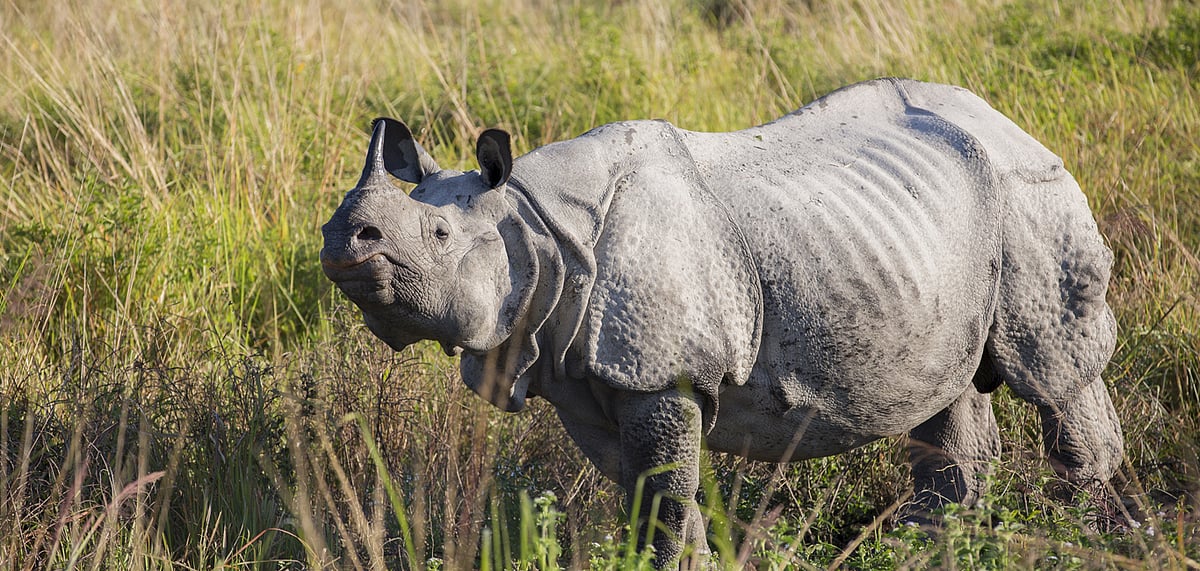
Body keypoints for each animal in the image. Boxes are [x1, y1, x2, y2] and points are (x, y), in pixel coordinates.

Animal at [321, 78, 1124, 566]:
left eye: (438, 236)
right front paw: (693, 561)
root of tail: (1005, 119)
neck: (530, 225)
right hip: (928, 224)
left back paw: (1084, 536)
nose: (340, 239)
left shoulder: (660, 371)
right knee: (948, 388)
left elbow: (664, 492)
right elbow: (652, 493)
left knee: (1052, 372)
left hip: (1029, 191)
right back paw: (923, 546)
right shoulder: (574, 372)